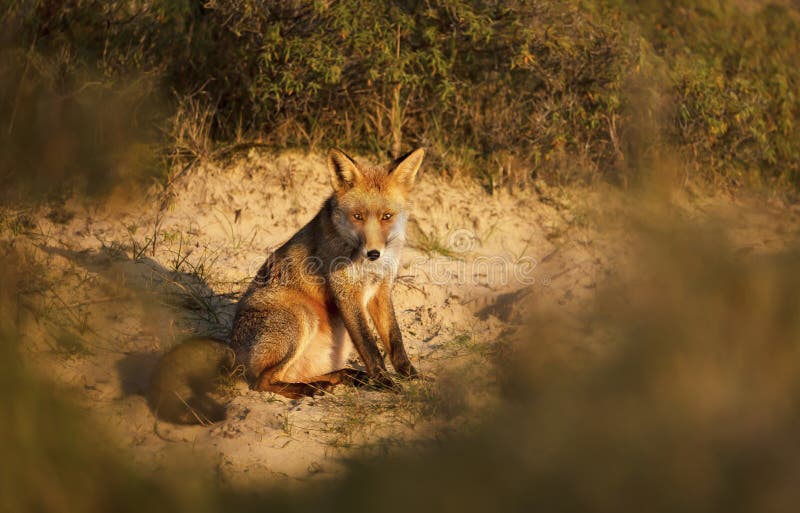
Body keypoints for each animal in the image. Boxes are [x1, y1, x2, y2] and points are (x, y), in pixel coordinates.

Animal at [150, 148, 425, 423]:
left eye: (387, 217)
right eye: (357, 216)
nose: (373, 254)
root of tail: (234, 349)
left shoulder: (381, 290)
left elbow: (395, 339)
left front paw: (411, 376)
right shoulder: (346, 292)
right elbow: (370, 346)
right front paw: (384, 382)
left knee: (292, 375)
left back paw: (338, 378)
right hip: (302, 316)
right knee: (262, 382)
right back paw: (309, 389)